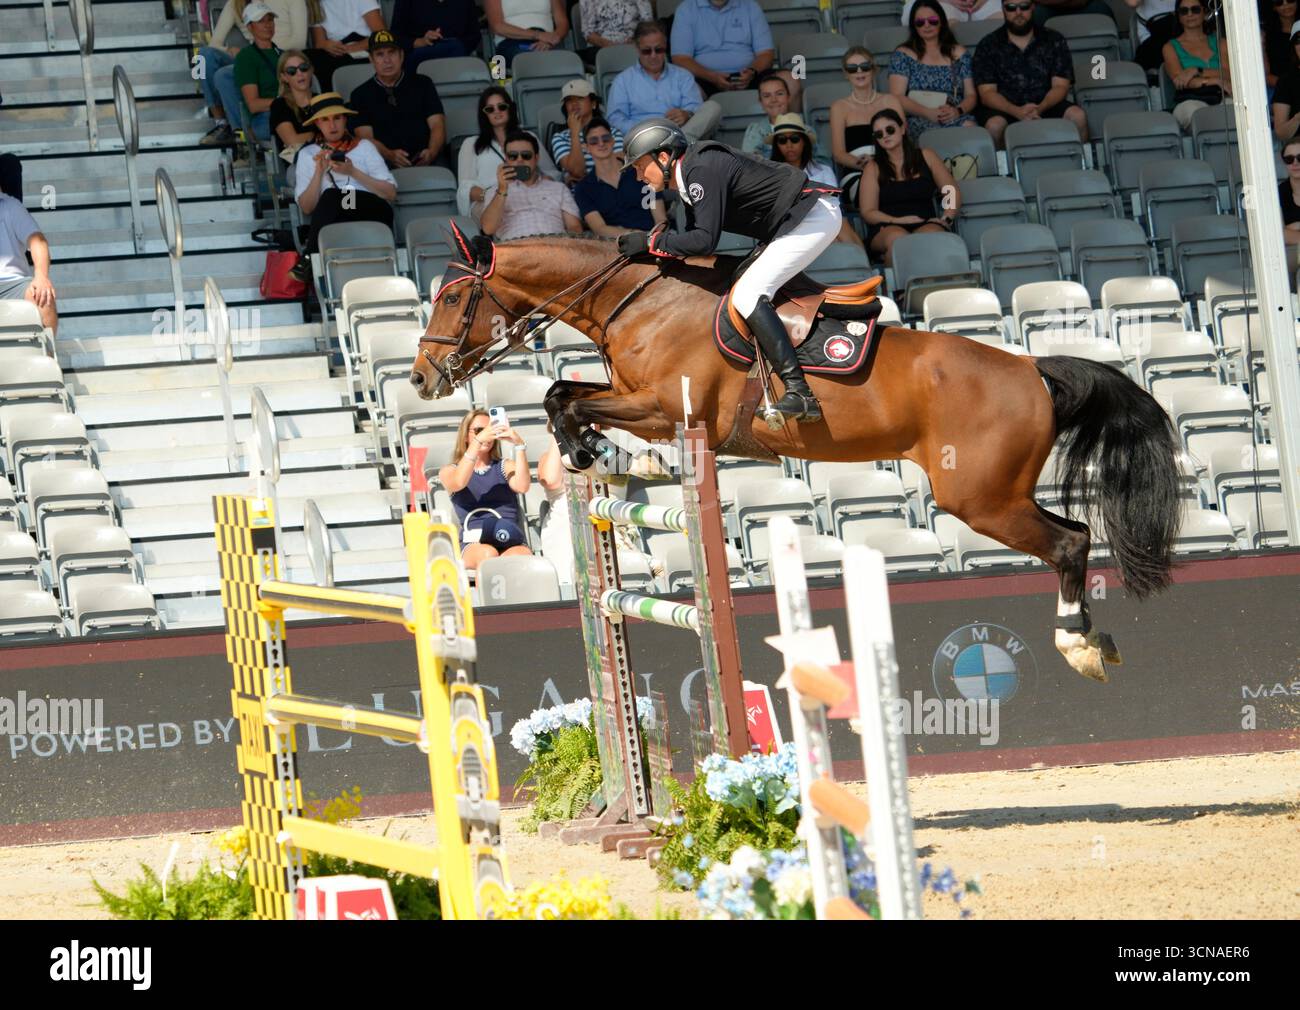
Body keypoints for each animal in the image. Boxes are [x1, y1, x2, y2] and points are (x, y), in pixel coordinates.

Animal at [410, 230, 1183, 684]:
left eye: (453, 297)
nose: (420, 378)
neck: (639, 301)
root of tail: (1031, 368)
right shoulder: (633, 397)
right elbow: (562, 391)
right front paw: (583, 448)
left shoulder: (666, 411)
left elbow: (566, 400)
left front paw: (581, 445)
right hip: (994, 494)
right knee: (1074, 535)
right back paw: (1091, 639)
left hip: (980, 498)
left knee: (1068, 542)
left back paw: (1078, 643)